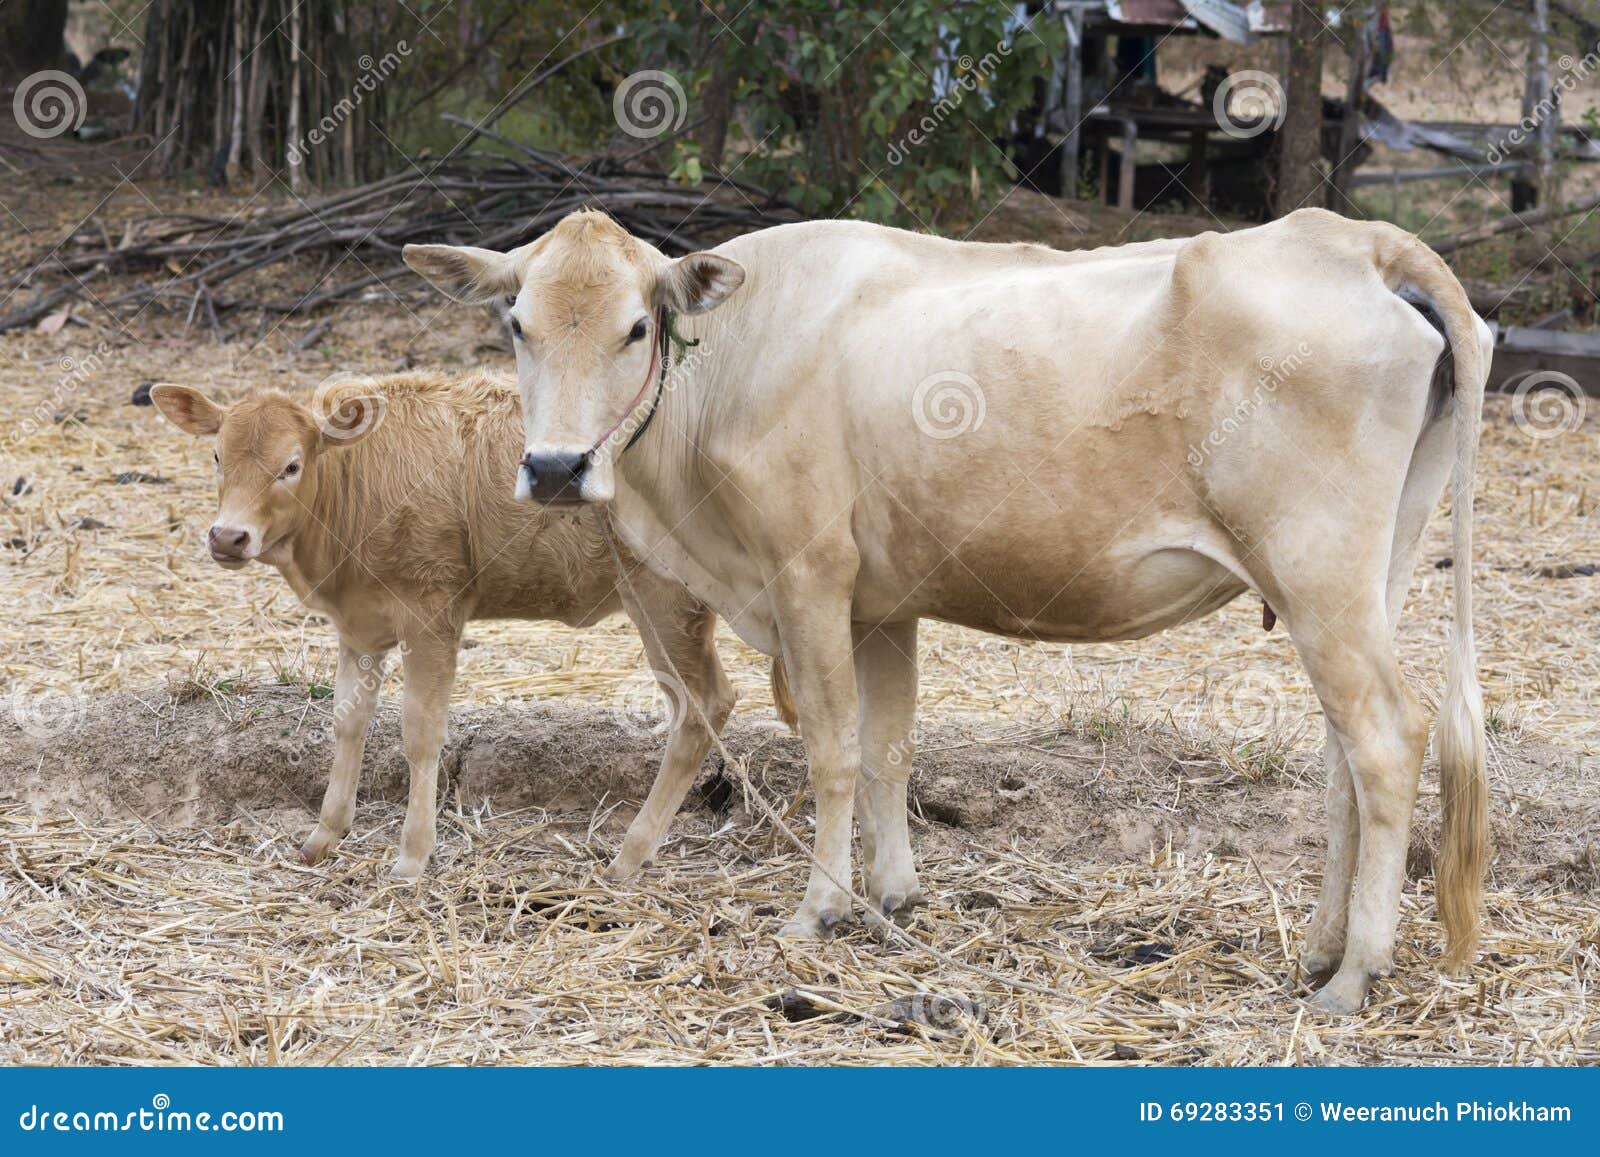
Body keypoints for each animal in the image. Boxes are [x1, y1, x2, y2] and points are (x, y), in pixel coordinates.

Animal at [151, 370, 785, 880]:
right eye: (217, 457)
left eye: (291, 465)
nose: (228, 536)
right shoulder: (358, 624)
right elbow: (348, 721)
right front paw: (324, 835)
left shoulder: (432, 614)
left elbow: (420, 731)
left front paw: (412, 856)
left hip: (664, 599)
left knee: (704, 705)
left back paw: (629, 855)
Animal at [403, 206, 1491, 1013]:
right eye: (516, 323)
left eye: (636, 325)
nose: (553, 468)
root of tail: (1351, 239)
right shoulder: (884, 604)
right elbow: (890, 744)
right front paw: (891, 895)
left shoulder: (809, 573)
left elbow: (834, 748)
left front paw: (819, 908)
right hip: (1365, 573)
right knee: (1345, 757)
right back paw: (1318, 948)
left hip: (1317, 569)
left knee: (1387, 735)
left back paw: (1355, 974)